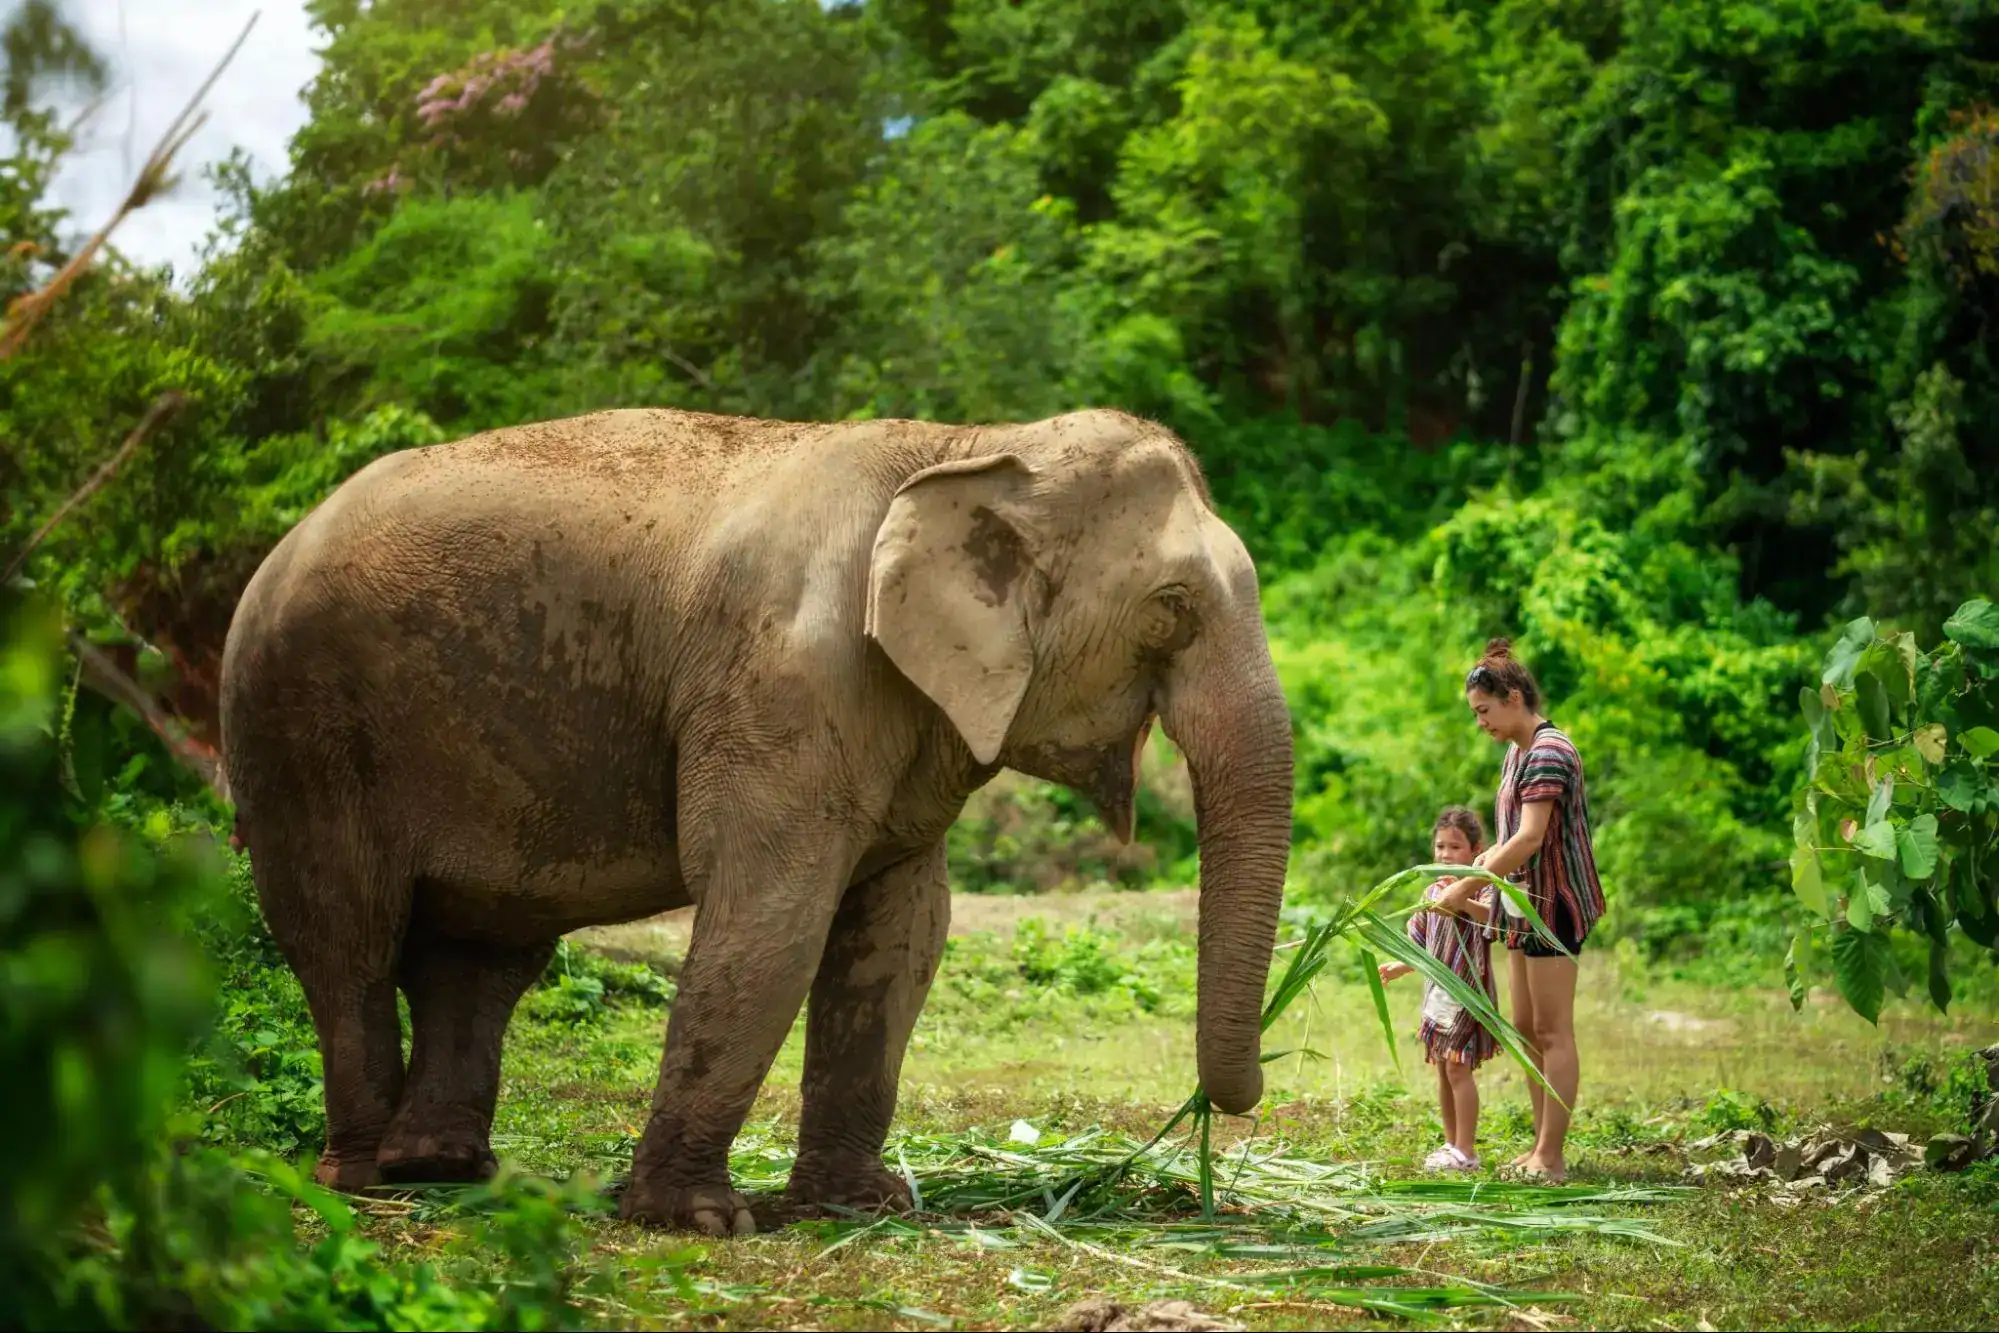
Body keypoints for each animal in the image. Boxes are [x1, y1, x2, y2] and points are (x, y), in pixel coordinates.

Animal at [218, 405, 1294, 1235]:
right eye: (1170, 607)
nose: (1226, 1105)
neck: (975, 442)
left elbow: (902, 930)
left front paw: (861, 1206)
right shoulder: (785, 681)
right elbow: (771, 912)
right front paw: (698, 1221)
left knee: (476, 957)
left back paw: (446, 1171)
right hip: (297, 725)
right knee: (346, 936)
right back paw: (366, 1179)